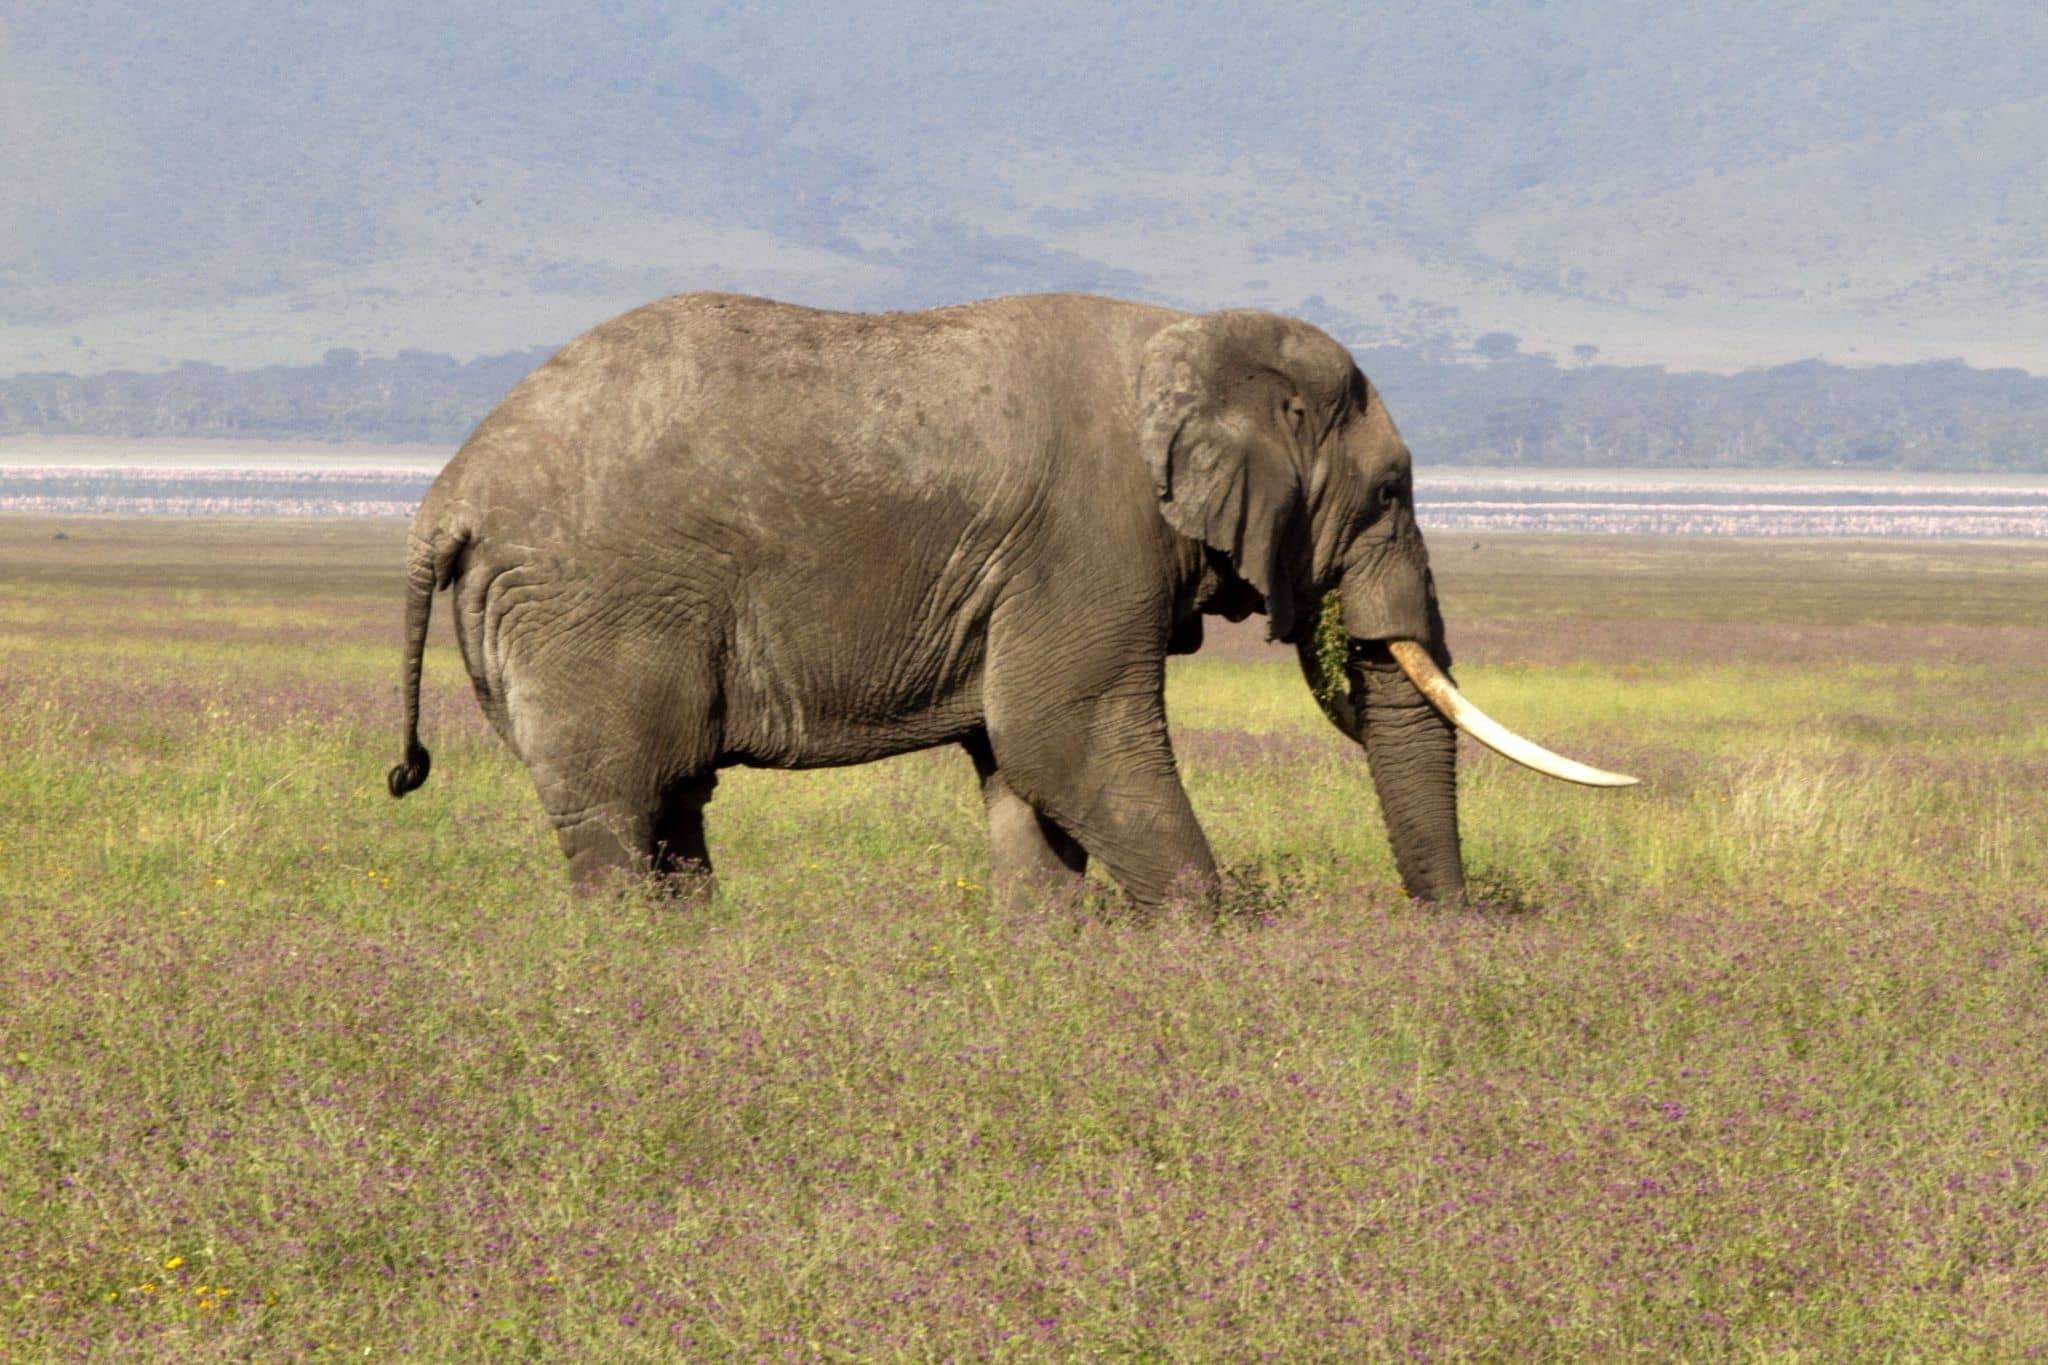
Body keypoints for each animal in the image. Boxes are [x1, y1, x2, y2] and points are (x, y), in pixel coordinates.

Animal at [388, 292, 1631, 905]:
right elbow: (1060, 737)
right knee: (618, 816)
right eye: (1387, 491)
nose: (1447, 929)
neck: (1187, 337)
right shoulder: (1088, 533)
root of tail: (446, 495)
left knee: (670, 815)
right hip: (586, 606)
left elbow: (1021, 772)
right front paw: (1209, 946)